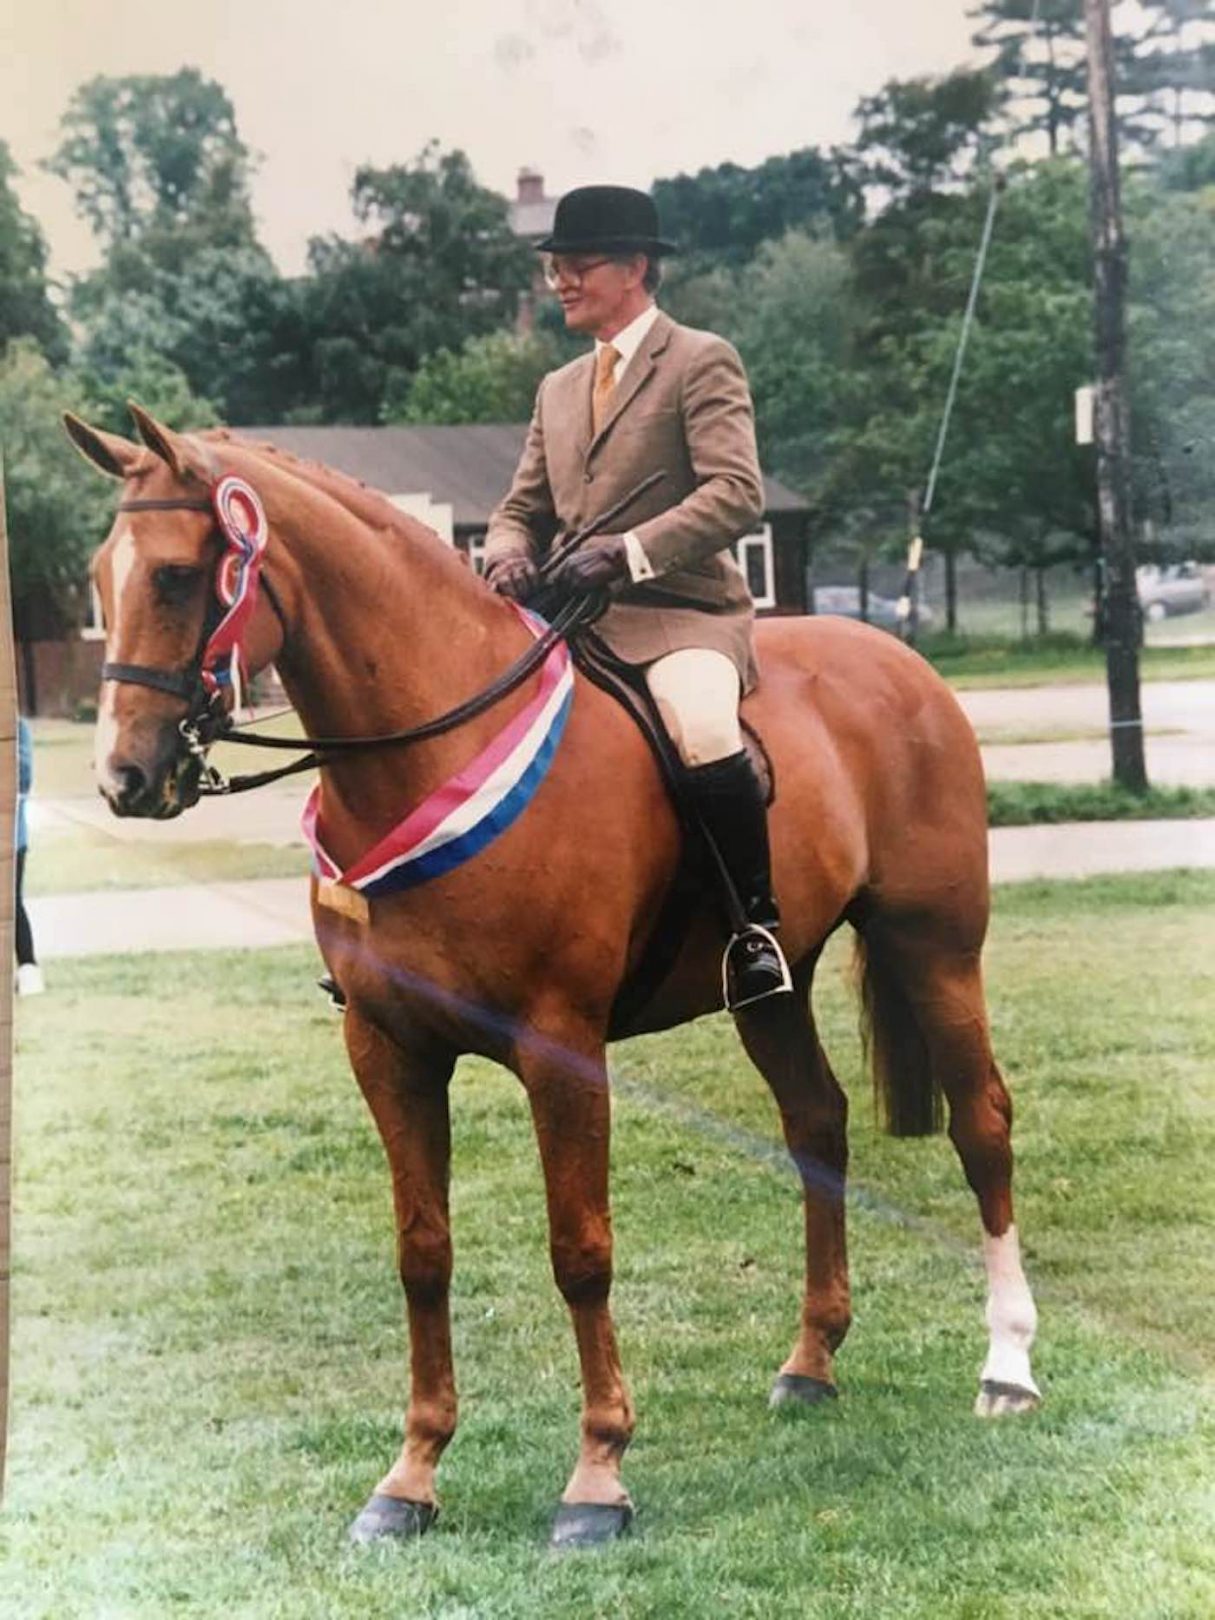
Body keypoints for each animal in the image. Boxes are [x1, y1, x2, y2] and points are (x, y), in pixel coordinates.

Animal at [67, 403, 1041, 1549]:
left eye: (179, 576)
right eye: (99, 577)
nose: (126, 778)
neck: (435, 749)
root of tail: (899, 661)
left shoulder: (560, 1048)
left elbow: (580, 1252)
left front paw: (596, 1478)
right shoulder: (388, 1050)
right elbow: (423, 1253)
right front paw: (409, 1478)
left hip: (934, 947)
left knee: (982, 1125)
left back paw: (1007, 1366)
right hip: (772, 982)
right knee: (818, 1124)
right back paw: (810, 1363)